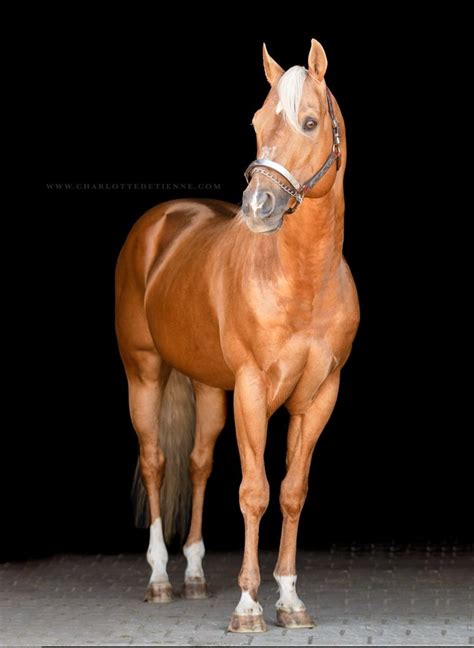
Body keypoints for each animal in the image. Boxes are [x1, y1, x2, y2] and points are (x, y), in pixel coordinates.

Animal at [115, 38, 359, 633]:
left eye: (310, 122)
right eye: (256, 122)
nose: (258, 208)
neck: (303, 280)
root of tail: (159, 221)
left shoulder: (318, 397)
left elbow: (292, 492)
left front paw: (289, 599)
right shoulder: (251, 389)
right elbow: (254, 491)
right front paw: (248, 606)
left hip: (207, 387)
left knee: (198, 463)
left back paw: (195, 575)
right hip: (144, 373)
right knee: (156, 460)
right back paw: (160, 580)